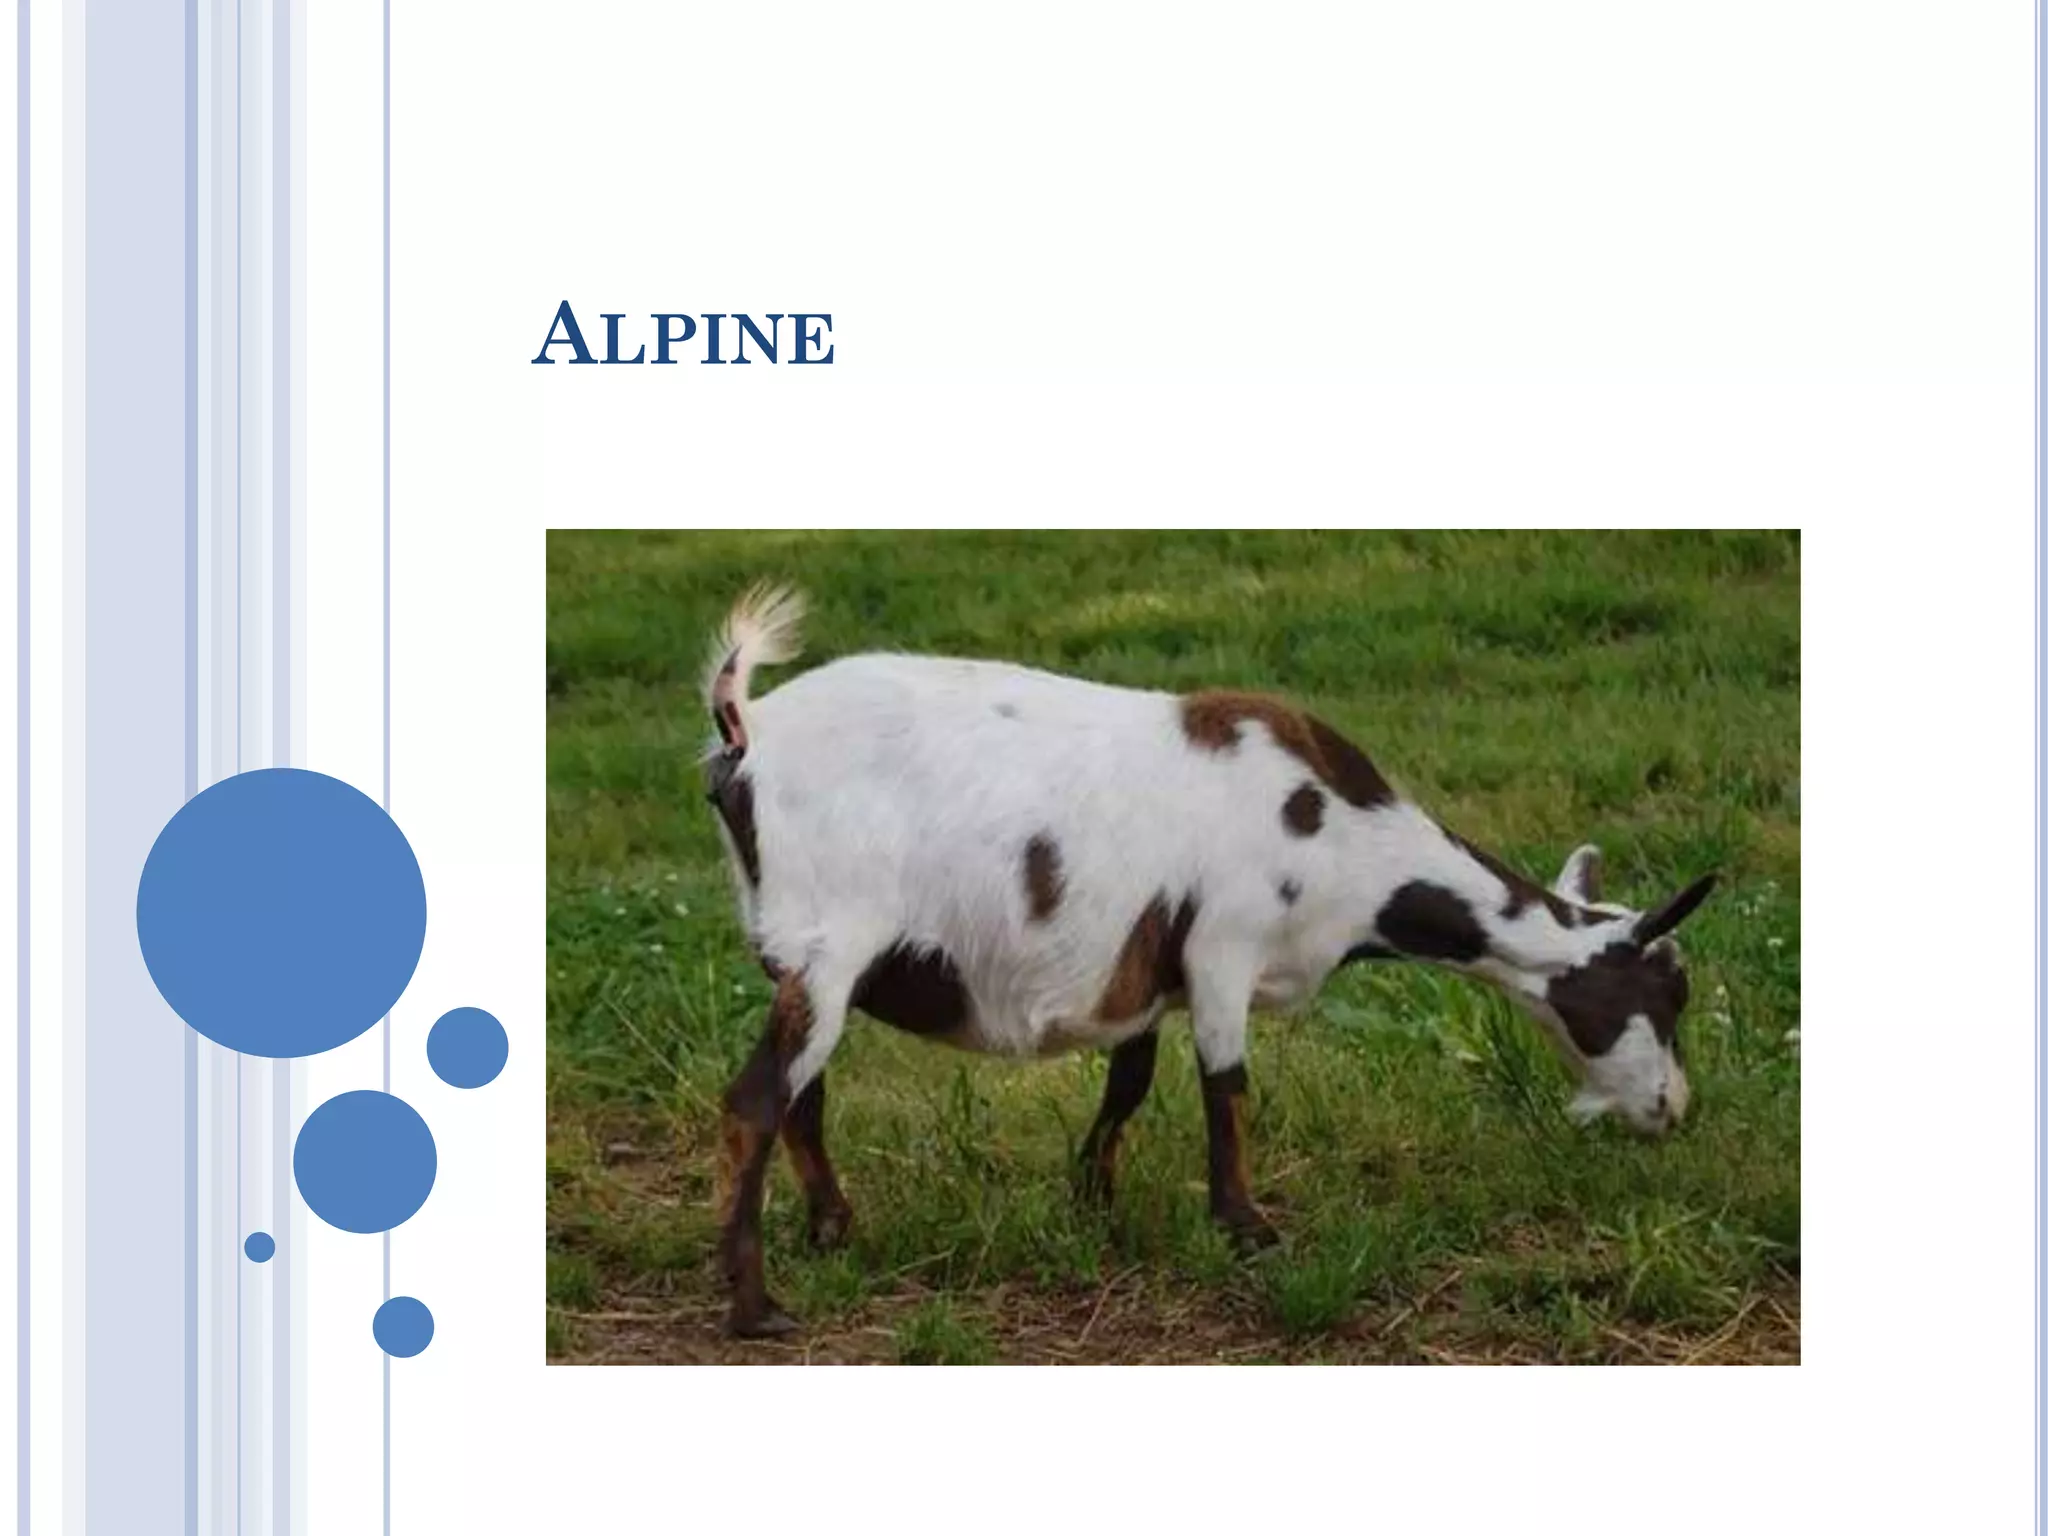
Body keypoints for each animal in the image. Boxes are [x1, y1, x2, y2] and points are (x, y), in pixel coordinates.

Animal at [701, 584, 1718, 1337]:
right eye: (1666, 990)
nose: (1672, 1109)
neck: (1348, 838)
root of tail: (744, 733)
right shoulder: (1224, 948)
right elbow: (1225, 1087)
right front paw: (1248, 1230)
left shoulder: (1145, 975)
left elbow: (1129, 1084)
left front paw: (1094, 1204)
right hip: (831, 943)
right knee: (756, 1102)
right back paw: (756, 1309)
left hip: (802, 961)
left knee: (803, 1095)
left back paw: (835, 1230)